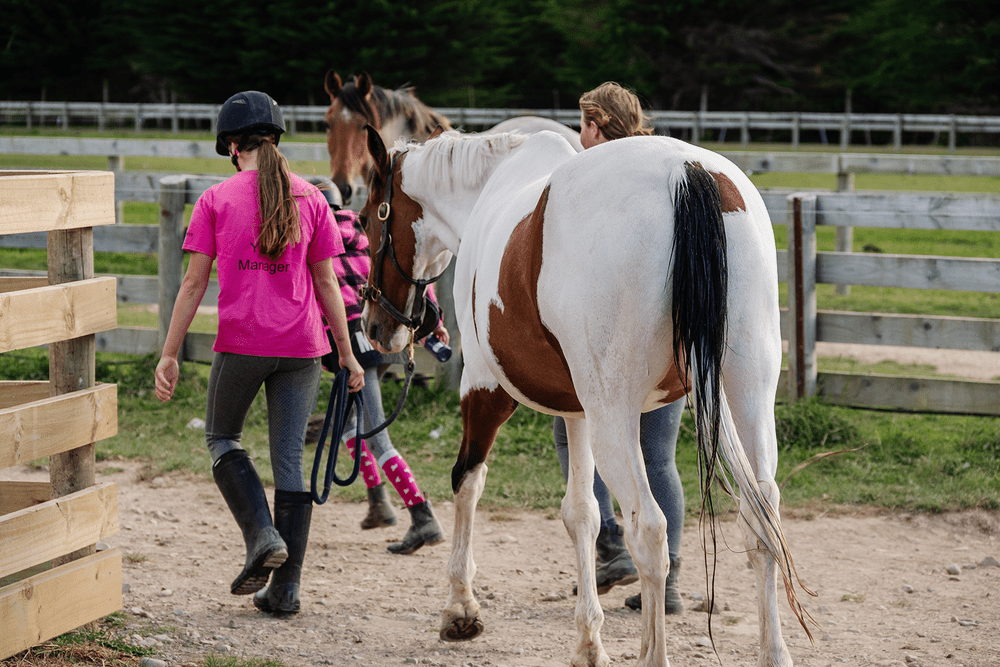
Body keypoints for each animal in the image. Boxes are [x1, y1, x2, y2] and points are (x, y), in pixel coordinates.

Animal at [356, 125, 815, 667]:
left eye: (366, 219)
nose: (375, 326)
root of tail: (687, 172)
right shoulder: (577, 411)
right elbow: (582, 513)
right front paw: (588, 643)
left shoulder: (485, 388)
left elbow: (467, 481)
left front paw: (460, 609)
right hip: (745, 395)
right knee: (760, 516)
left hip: (615, 417)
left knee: (649, 529)